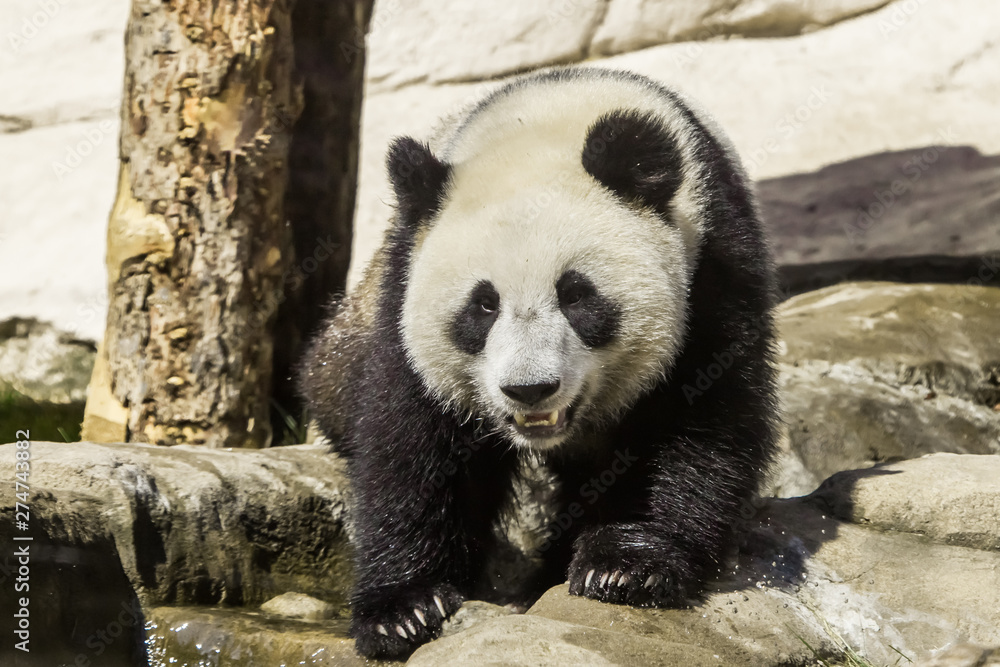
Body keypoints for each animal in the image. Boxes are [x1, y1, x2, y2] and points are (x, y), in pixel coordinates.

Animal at [299, 66, 779, 659]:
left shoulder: (713, 262)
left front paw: (626, 565)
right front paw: (403, 612)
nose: (530, 389)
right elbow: (411, 439)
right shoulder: (404, 283)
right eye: (483, 304)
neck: (550, 117)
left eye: (576, 295)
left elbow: (705, 419)